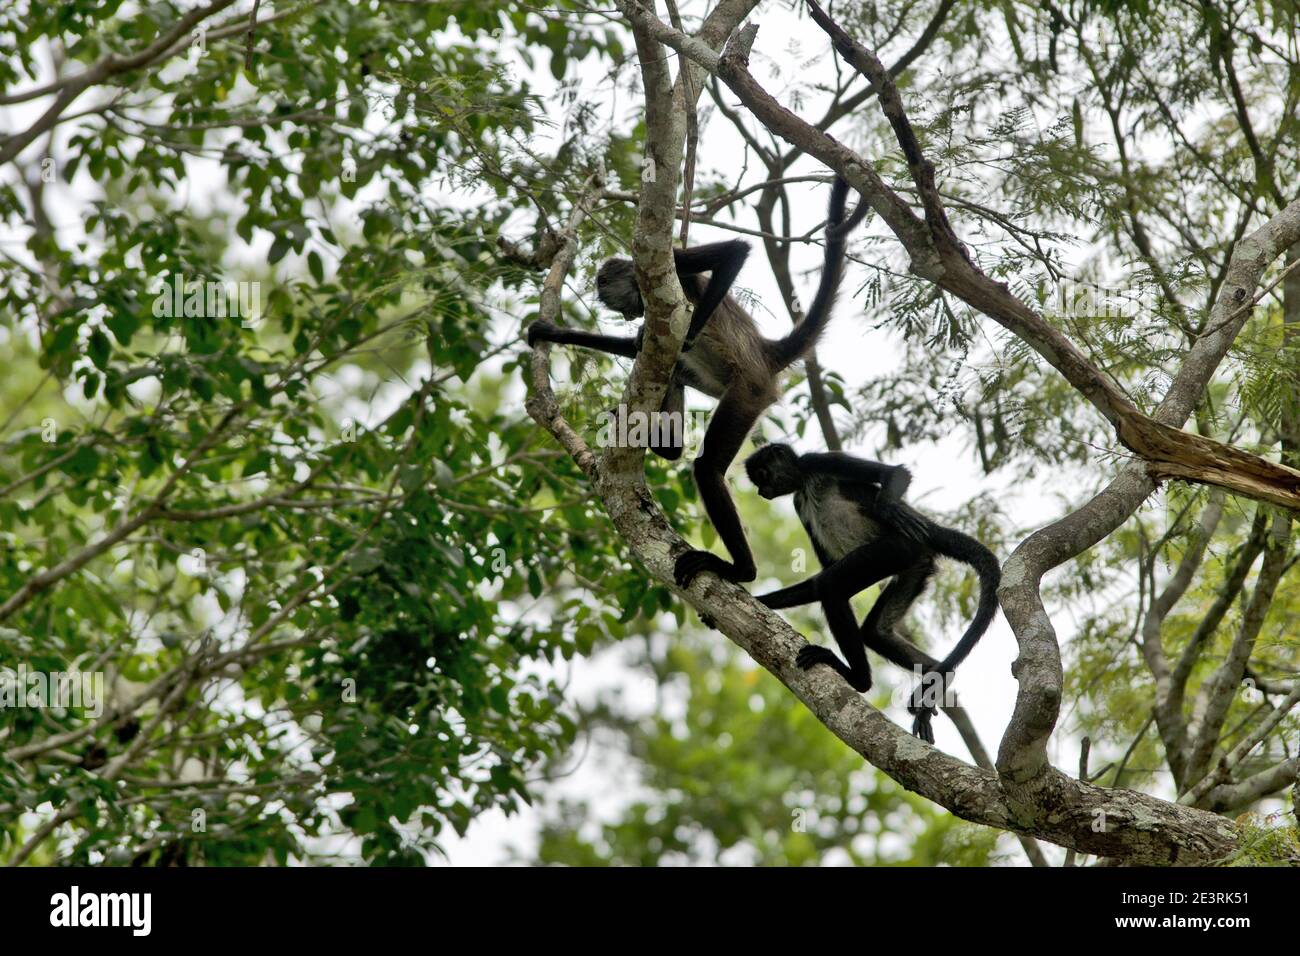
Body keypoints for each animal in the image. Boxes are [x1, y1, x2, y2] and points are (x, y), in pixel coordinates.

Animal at [527, 177, 868, 588]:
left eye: (621, 304)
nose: (628, 316)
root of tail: (765, 354)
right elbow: (638, 346)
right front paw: (550, 331)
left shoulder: (674, 262)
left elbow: (734, 253)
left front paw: (689, 331)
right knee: (670, 371)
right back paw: (665, 446)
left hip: (746, 391)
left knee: (706, 467)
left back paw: (741, 570)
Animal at [742, 442, 1000, 743]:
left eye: (762, 475)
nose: (761, 492)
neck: (804, 483)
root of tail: (929, 533)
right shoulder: (798, 502)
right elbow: (821, 576)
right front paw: (755, 599)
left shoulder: (818, 461)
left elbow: (896, 473)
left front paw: (887, 507)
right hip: (915, 567)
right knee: (873, 632)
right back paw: (939, 677)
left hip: (895, 549)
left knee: (831, 586)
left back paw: (859, 680)